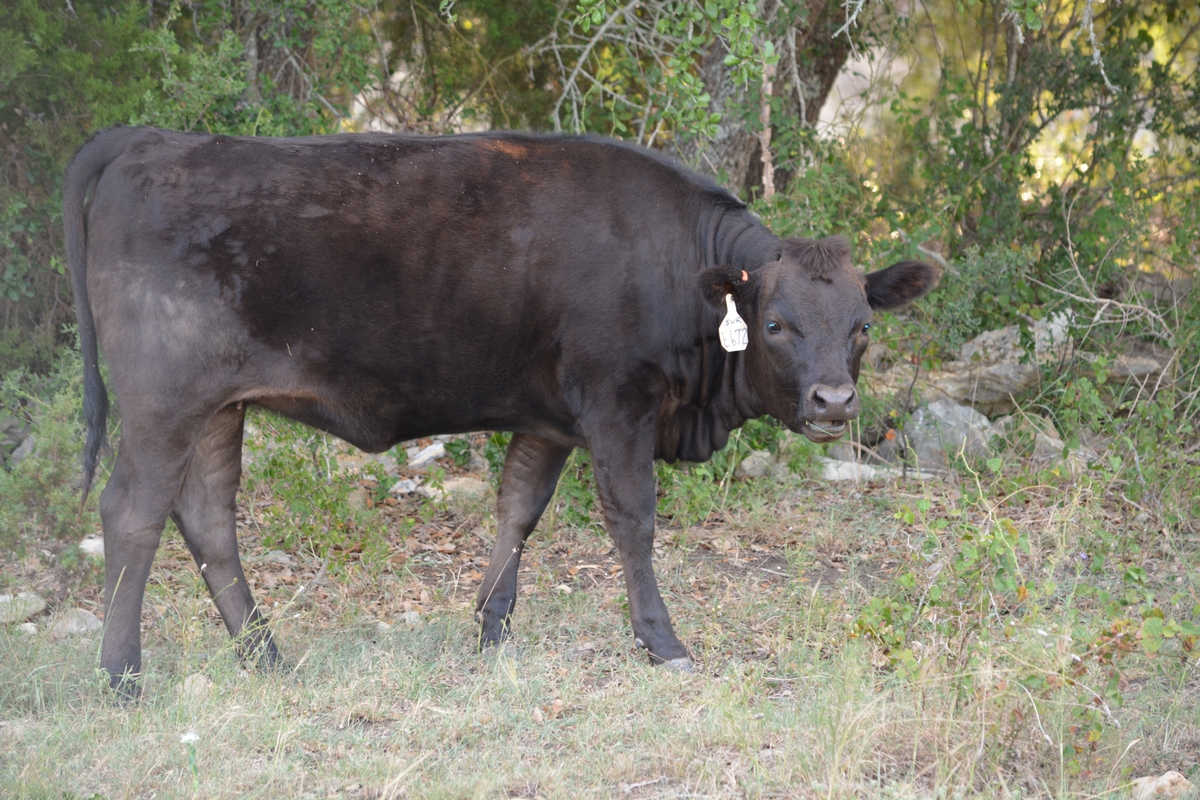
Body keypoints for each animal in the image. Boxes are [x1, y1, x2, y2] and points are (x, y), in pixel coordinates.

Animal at [64, 126, 935, 696]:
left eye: (862, 326)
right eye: (777, 324)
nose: (833, 401)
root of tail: (151, 138)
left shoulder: (546, 418)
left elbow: (519, 508)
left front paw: (489, 630)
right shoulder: (617, 403)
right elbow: (633, 520)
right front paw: (663, 642)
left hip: (217, 408)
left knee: (208, 519)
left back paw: (266, 657)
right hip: (161, 402)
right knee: (132, 515)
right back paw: (121, 676)